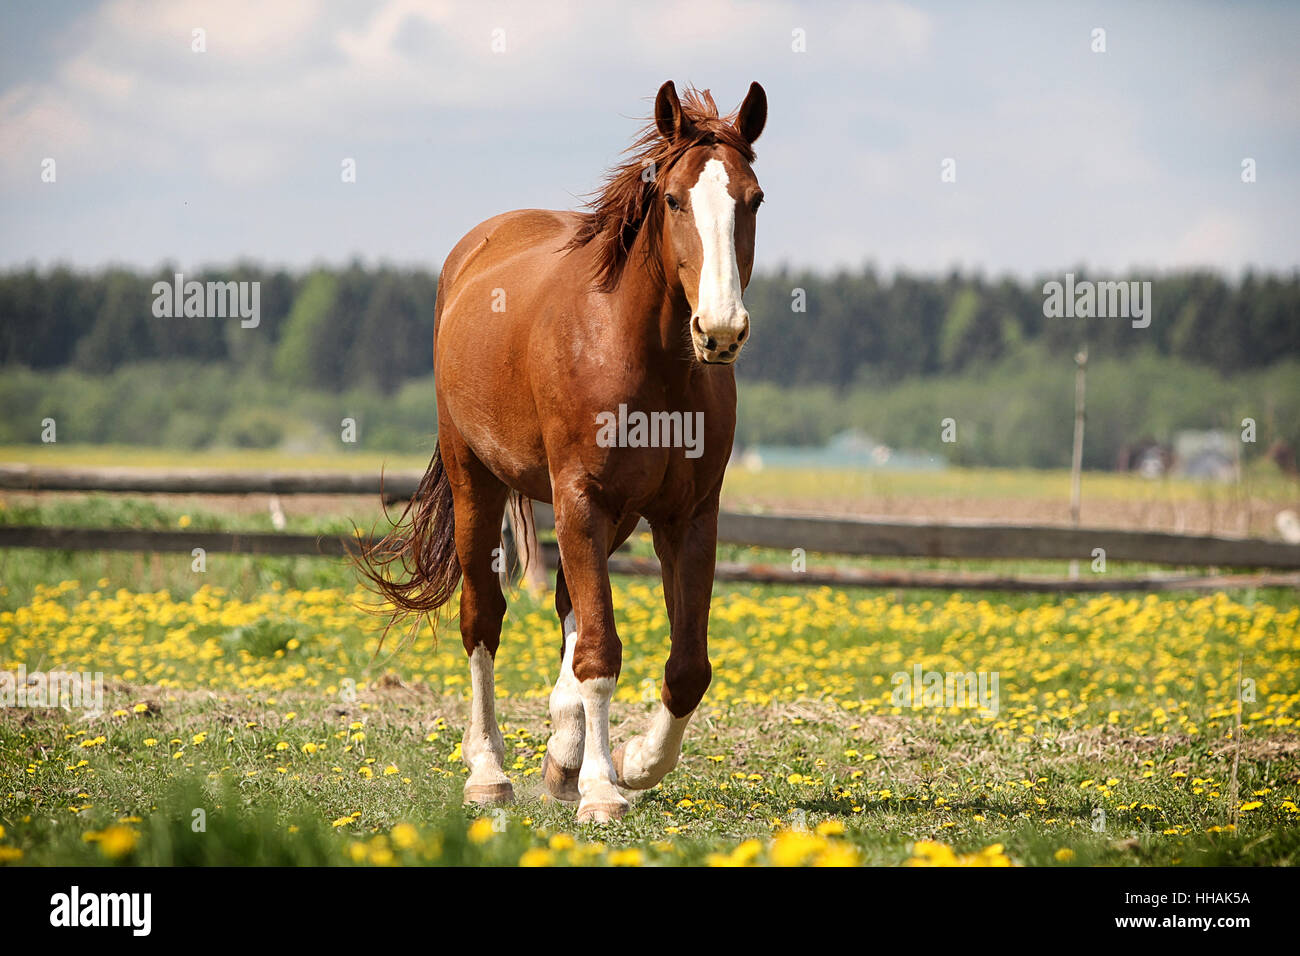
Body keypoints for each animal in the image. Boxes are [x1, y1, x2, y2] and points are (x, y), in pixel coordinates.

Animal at [358, 80, 767, 823]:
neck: (644, 354)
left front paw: (632, 762)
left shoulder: (688, 515)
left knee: (566, 606)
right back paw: (489, 771)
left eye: (751, 199)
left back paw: (564, 751)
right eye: (673, 199)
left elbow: (687, 666)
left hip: (612, 517)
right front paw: (605, 787)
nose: (719, 330)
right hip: (479, 483)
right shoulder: (582, 498)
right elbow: (601, 653)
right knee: (484, 618)